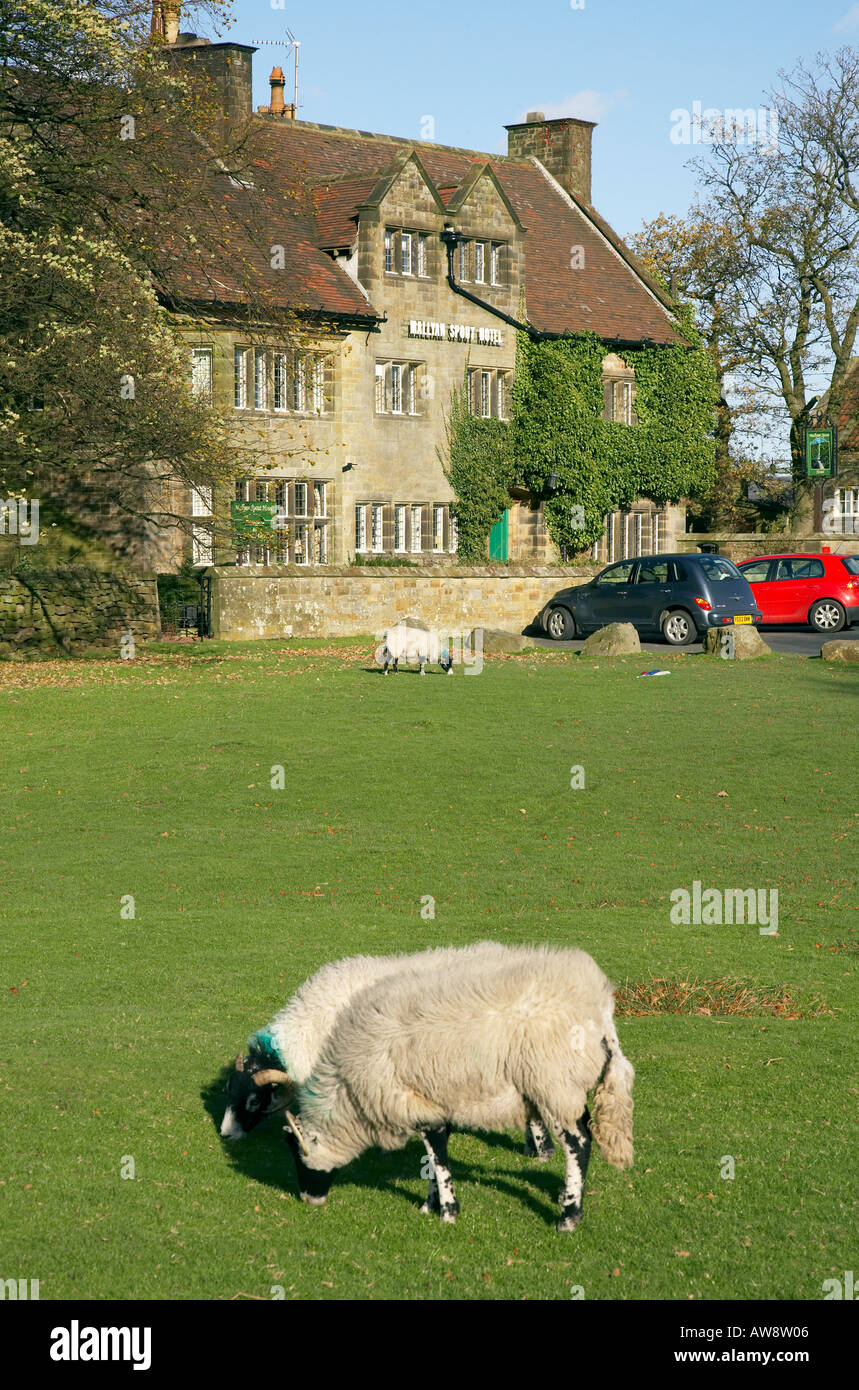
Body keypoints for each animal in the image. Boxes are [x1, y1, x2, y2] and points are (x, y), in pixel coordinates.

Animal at [280, 945, 634, 1232]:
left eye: (298, 1156)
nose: (307, 1200)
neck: (349, 1095)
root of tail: (600, 1008)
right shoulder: (432, 1101)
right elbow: (435, 1152)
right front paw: (430, 1203)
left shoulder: (411, 1100)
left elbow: (437, 1156)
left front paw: (448, 1211)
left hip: (555, 1083)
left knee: (579, 1143)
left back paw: (569, 1216)